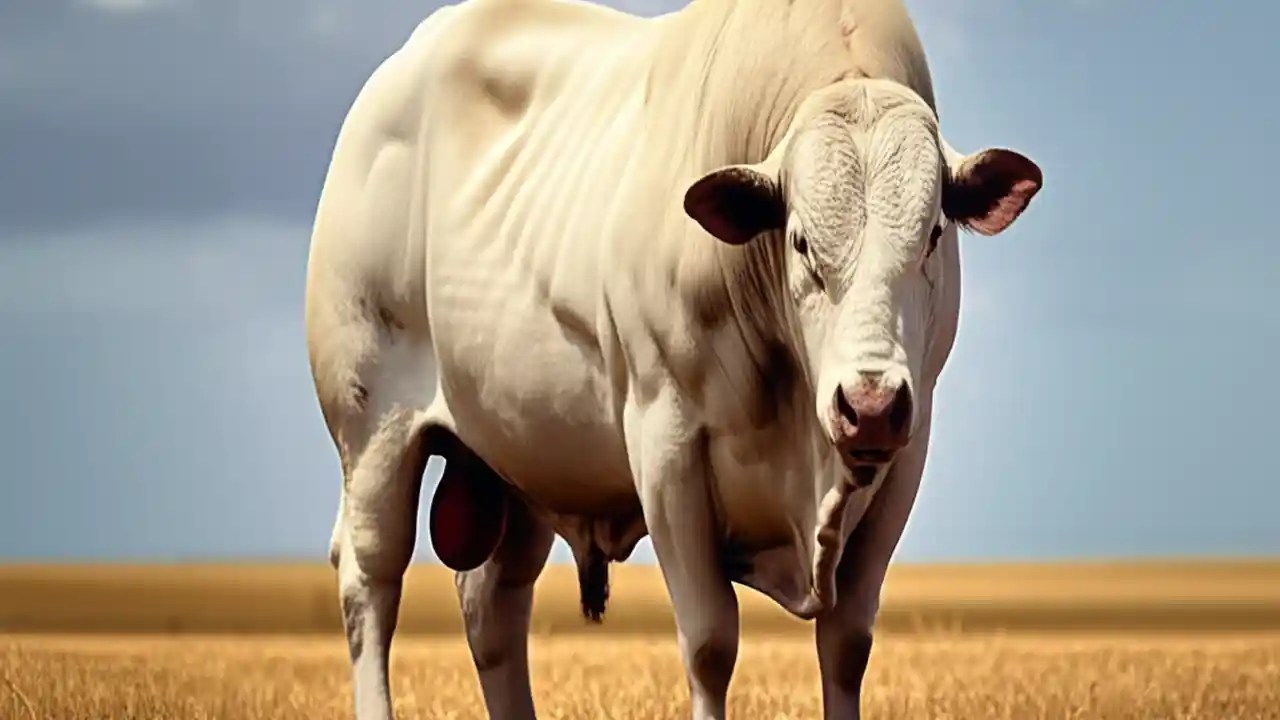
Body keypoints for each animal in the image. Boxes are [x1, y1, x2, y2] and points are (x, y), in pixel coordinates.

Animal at [303, 0, 1043, 717]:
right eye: (800, 241)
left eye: (933, 234)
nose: (869, 405)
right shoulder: (667, 446)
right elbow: (710, 644)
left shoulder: (904, 459)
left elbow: (847, 645)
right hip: (370, 431)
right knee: (371, 583)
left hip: (517, 456)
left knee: (492, 605)